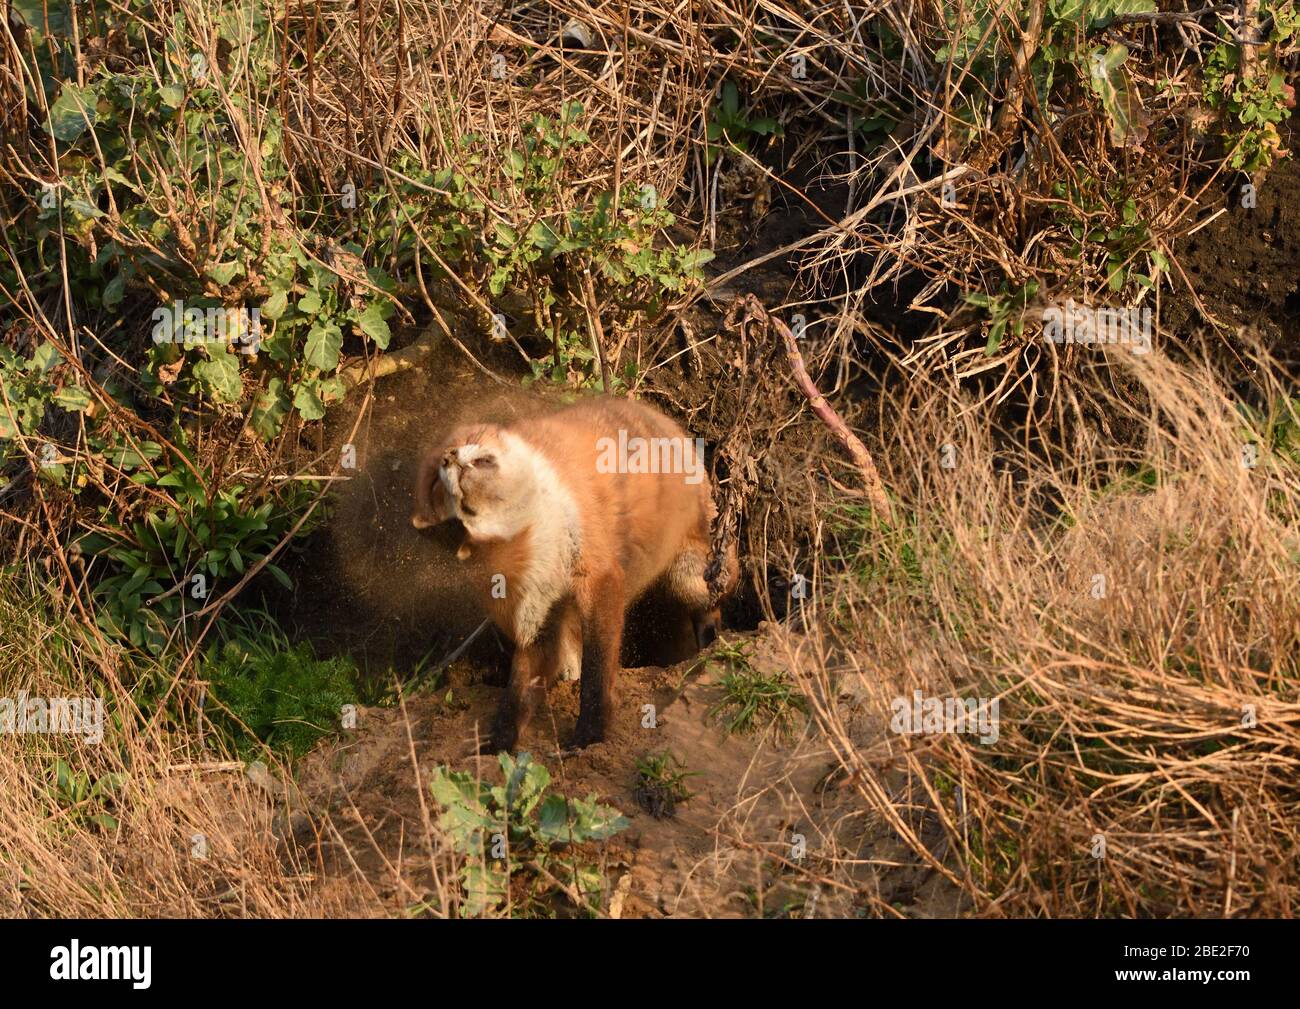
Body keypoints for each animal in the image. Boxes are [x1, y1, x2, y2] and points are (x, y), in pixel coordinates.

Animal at [411, 397, 737, 752]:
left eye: (462, 444)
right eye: (443, 490)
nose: (449, 457)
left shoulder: (598, 575)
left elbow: (596, 671)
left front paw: (590, 734)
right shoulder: (539, 621)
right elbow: (516, 694)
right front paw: (499, 745)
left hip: (689, 577)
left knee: (713, 603)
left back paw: (713, 643)